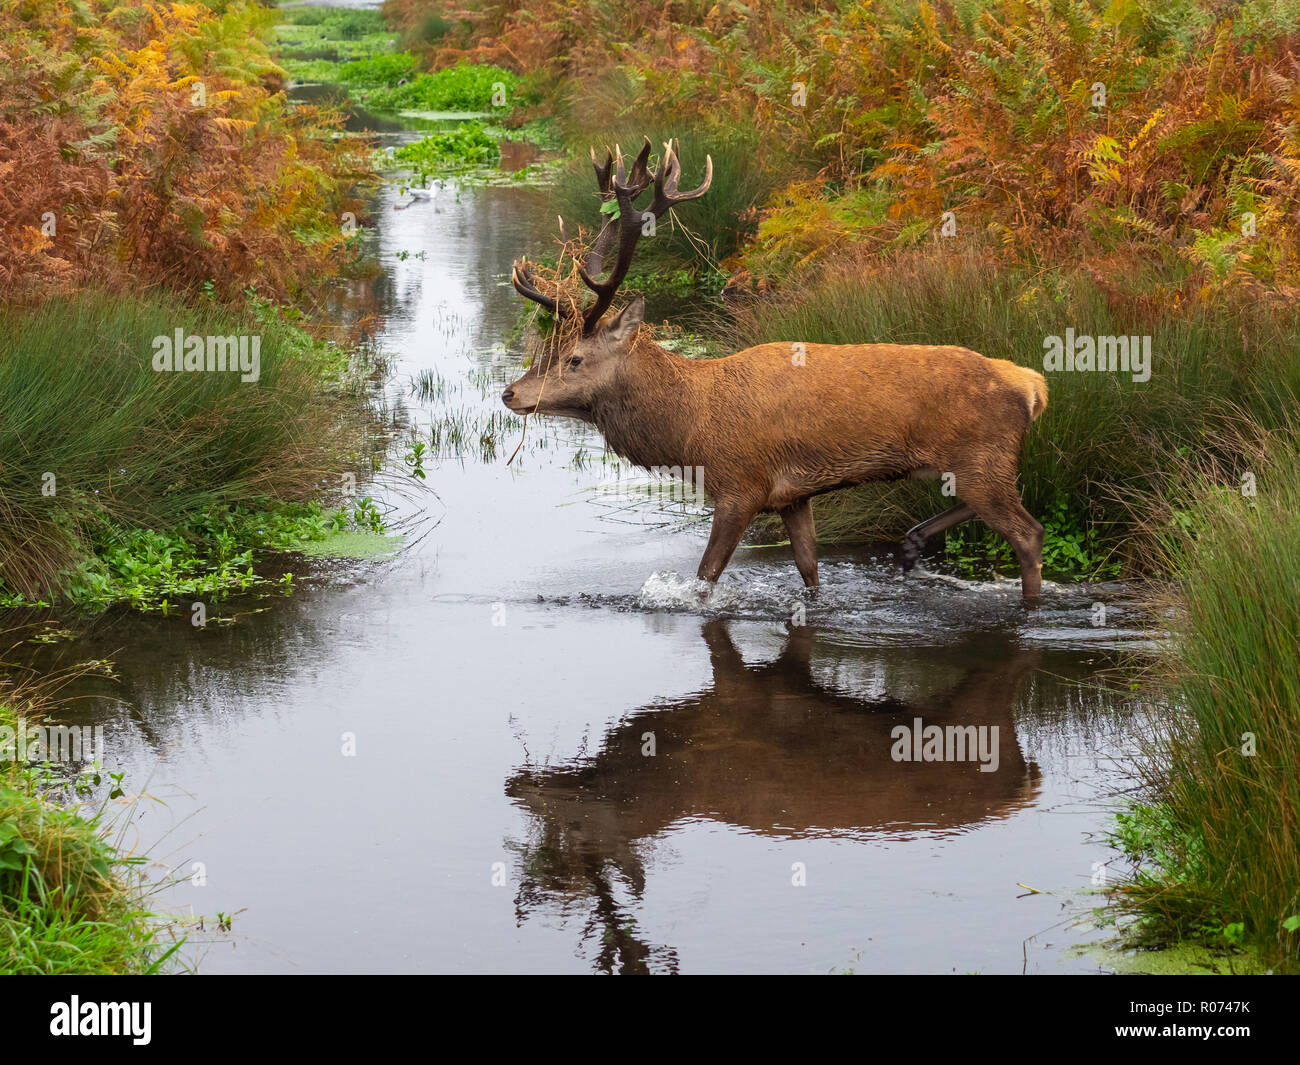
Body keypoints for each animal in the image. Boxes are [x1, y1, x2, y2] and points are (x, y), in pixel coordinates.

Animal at [502, 138, 1050, 599]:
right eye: (543, 353)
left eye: (574, 359)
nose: (510, 393)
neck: (689, 428)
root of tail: (1033, 386)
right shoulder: (793, 496)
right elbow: (808, 569)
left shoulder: (740, 485)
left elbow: (705, 578)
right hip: (973, 465)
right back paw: (914, 544)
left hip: (983, 457)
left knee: (1030, 532)